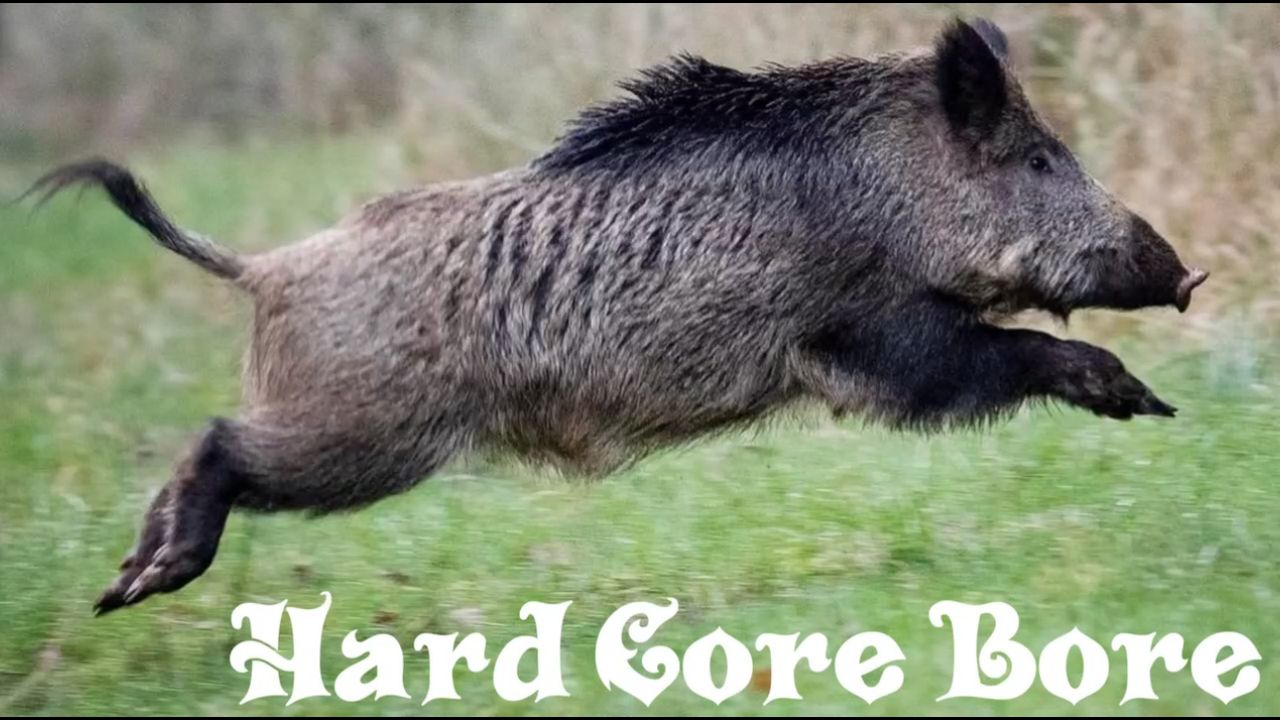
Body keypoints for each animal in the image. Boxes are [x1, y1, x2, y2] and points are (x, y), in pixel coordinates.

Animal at [26, 18, 1206, 613]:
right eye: (1039, 160)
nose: (1189, 275)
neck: (888, 195)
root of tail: (262, 270)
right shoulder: (862, 342)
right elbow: (1002, 356)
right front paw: (1144, 401)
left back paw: (123, 587)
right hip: (362, 429)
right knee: (218, 442)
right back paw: (137, 588)